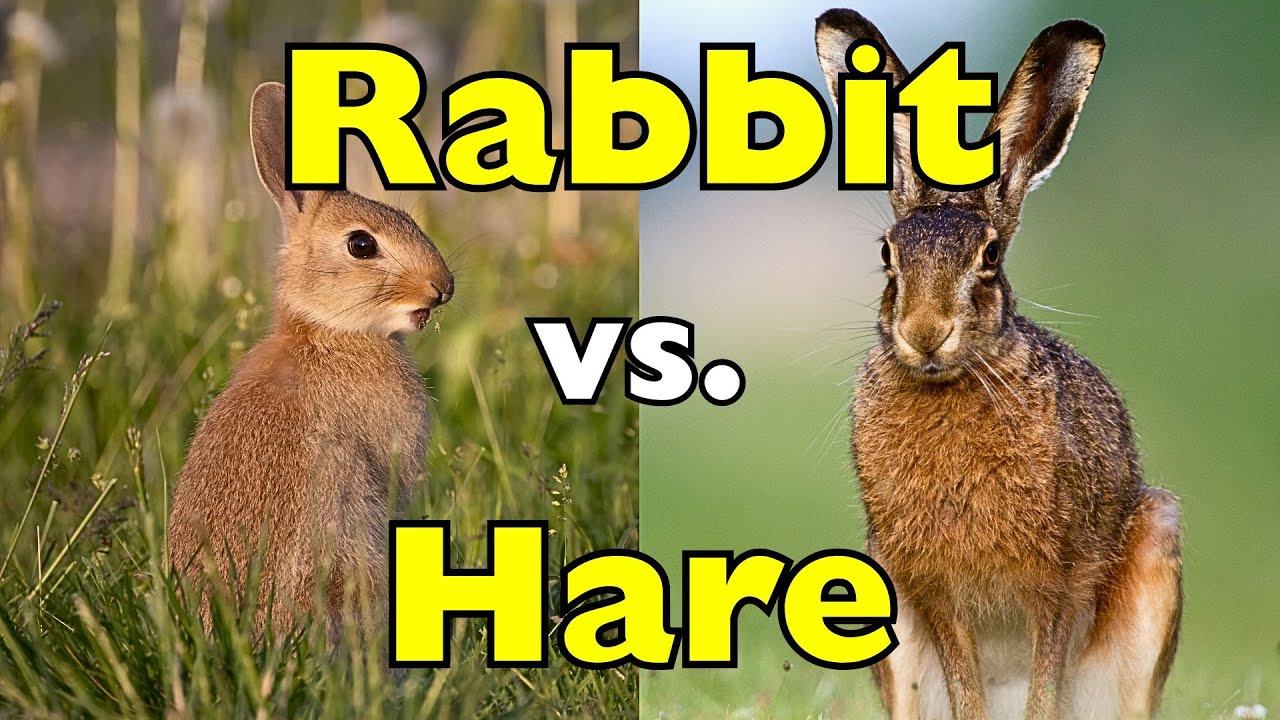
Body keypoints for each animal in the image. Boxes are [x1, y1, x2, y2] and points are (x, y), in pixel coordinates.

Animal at [814, 10, 1182, 720]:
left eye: (988, 256)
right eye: (887, 254)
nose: (925, 332)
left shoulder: (1061, 578)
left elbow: (1046, 681)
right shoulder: (930, 587)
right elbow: (965, 686)